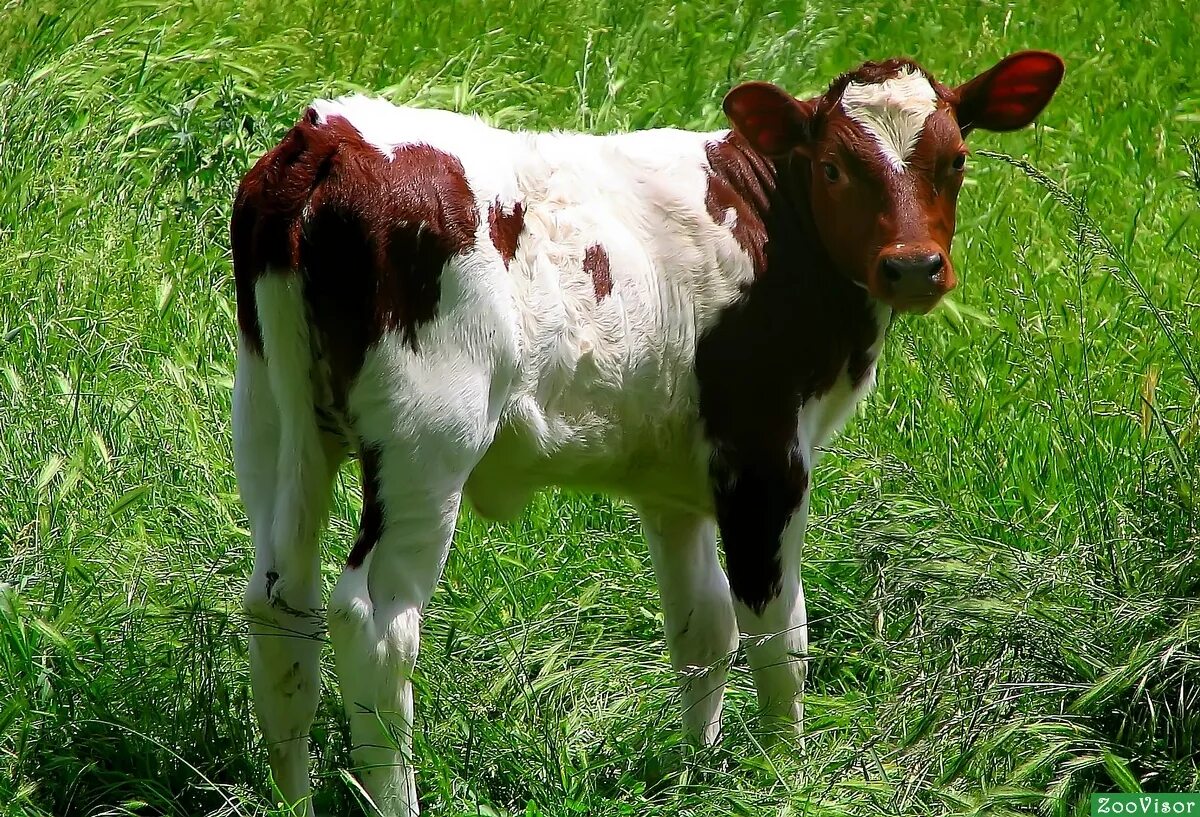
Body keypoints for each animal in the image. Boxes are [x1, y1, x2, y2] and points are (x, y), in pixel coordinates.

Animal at [231, 51, 1064, 815]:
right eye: (833, 167)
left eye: (955, 160)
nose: (914, 266)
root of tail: (331, 135)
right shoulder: (765, 455)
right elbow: (777, 633)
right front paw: (787, 777)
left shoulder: (674, 486)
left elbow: (702, 628)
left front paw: (701, 772)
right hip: (426, 440)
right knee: (374, 622)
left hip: (271, 416)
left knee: (279, 606)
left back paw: (289, 798)